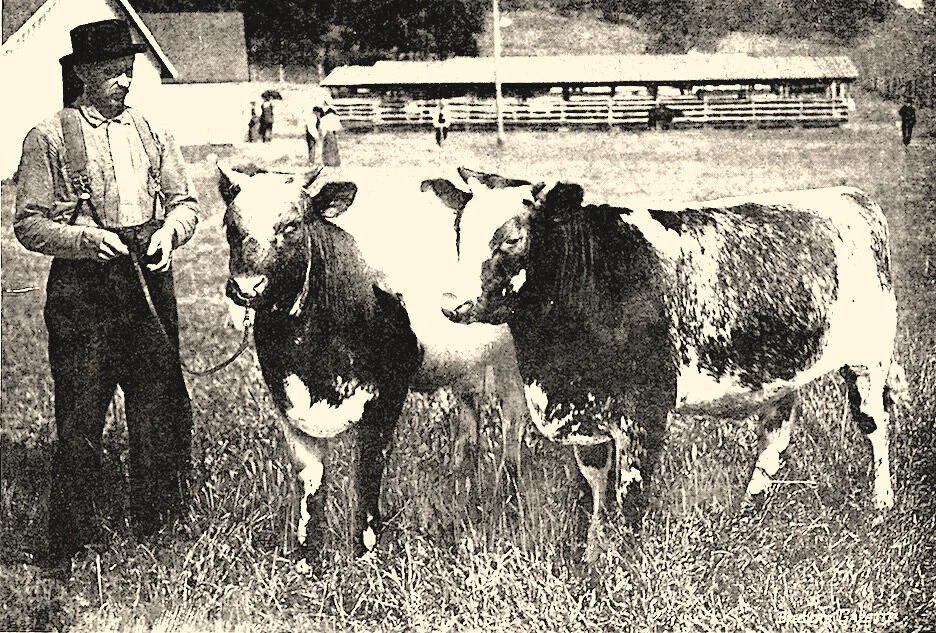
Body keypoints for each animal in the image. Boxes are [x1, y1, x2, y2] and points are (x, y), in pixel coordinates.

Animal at [217, 163, 529, 572]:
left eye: (292, 226)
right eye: (230, 225)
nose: (246, 287)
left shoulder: (388, 394)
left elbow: (367, 470)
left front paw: (365, 549)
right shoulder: (288, 401)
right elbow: (309, 479)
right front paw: (306, 556)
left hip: (510, 361)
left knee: (512, 417)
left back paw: (506, 493)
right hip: (467, 362)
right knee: (470, 409)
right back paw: (460, 480)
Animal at [432, 167, 902, 562]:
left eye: (512, 238)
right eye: (457, 232)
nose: (451, 304)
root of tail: (850, 196)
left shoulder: (645, 408)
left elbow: (630, 494)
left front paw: (626, 566)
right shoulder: (586, 415)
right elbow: (596, 486)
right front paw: (592, 555)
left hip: (868, 358)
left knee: (875, 427)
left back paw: (881, 505)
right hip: (778, 374)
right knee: (776, 436)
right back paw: (747, 514)